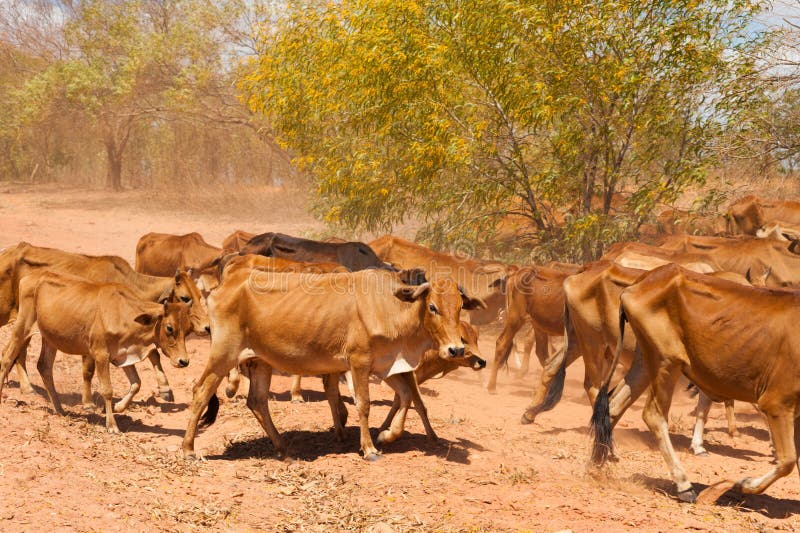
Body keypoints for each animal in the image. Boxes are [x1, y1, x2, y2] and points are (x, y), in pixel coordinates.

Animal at [0, 242, 208, 404]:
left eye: (200, 295)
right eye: (185, 297)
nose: (206, 327)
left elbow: (153, 354)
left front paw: (166, 389)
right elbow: (88, 370)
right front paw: (88, 403)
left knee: (19, 350)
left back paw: (27, 388)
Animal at [0, 271, 192, 432]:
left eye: (188, 328)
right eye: (169, 328)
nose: (184, 361)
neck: (124, 313)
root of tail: (30, 277)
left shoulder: (123, 354)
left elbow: (136, 383)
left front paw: (118, 407)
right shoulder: (101, 355)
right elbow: (107, 390)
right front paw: (112, 425)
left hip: (50, 339)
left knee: (44, 366)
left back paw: (59, 408)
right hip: (22, 328)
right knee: (7, 358)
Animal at [181, 268, 485, 461]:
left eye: (460, 308)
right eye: (433, 307)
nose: (456, 349)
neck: (390, 308)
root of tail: (220, 287)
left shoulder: (386, 365)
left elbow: (408, 397)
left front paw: (387, 436)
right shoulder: (359, 362)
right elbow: (364, 404)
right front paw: (369, 448)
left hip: (260, 362)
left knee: (257, 402)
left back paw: (283, 448)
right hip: (223, 355)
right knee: (200, 392)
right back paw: (188, 449)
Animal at [591, 264, 800, 503]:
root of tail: (644, 279)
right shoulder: (777, 403)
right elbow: (787, 461)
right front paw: (743, 484)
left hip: (645, 360)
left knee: (614, 405)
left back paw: (597, 465)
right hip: (667, 362)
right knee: (654, 416)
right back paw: (684, 485)